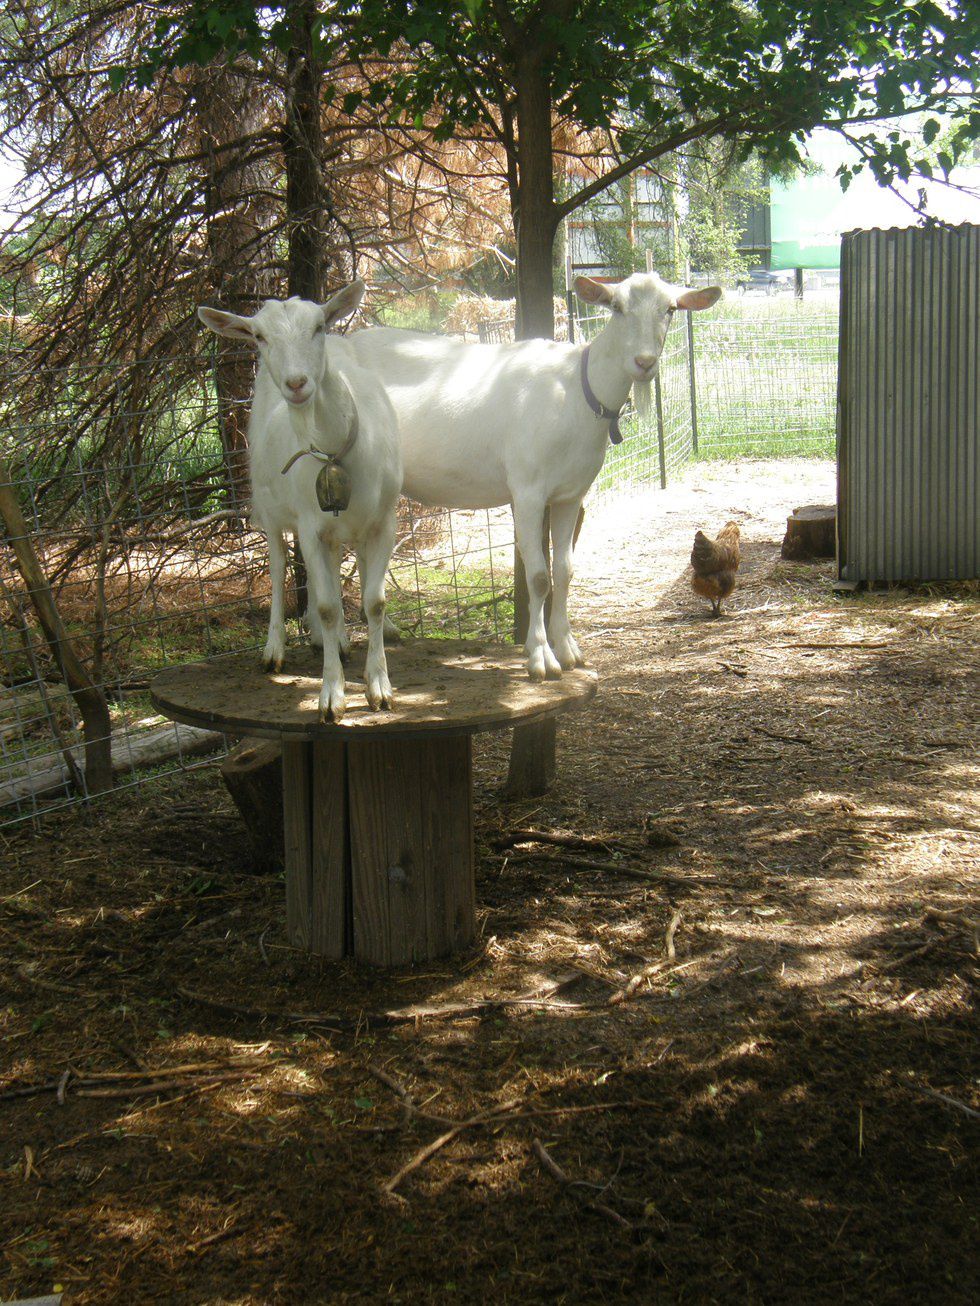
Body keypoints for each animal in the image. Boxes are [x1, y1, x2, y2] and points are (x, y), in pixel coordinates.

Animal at [198, 281, 401, 722]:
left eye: (318, 325)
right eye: (259, 336)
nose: (296, 384)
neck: (336, 450)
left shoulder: (383, 520)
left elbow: (374, 600)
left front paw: (379, 685)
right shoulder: (310, 525)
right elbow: (324, 606)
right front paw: (331, 695)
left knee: (346, 567)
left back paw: (344, 638)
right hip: (270, 509)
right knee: (278, 570)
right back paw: (277, 648)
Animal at [345, 273, 721, 679]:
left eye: (670, 309)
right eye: (616, 307)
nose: (644, 362)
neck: (576, 392)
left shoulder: (571, 495)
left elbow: (564, 570)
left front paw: (569, 648)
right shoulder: (526, 491)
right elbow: (539, 576)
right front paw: (542, 657)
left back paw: (388, 629)